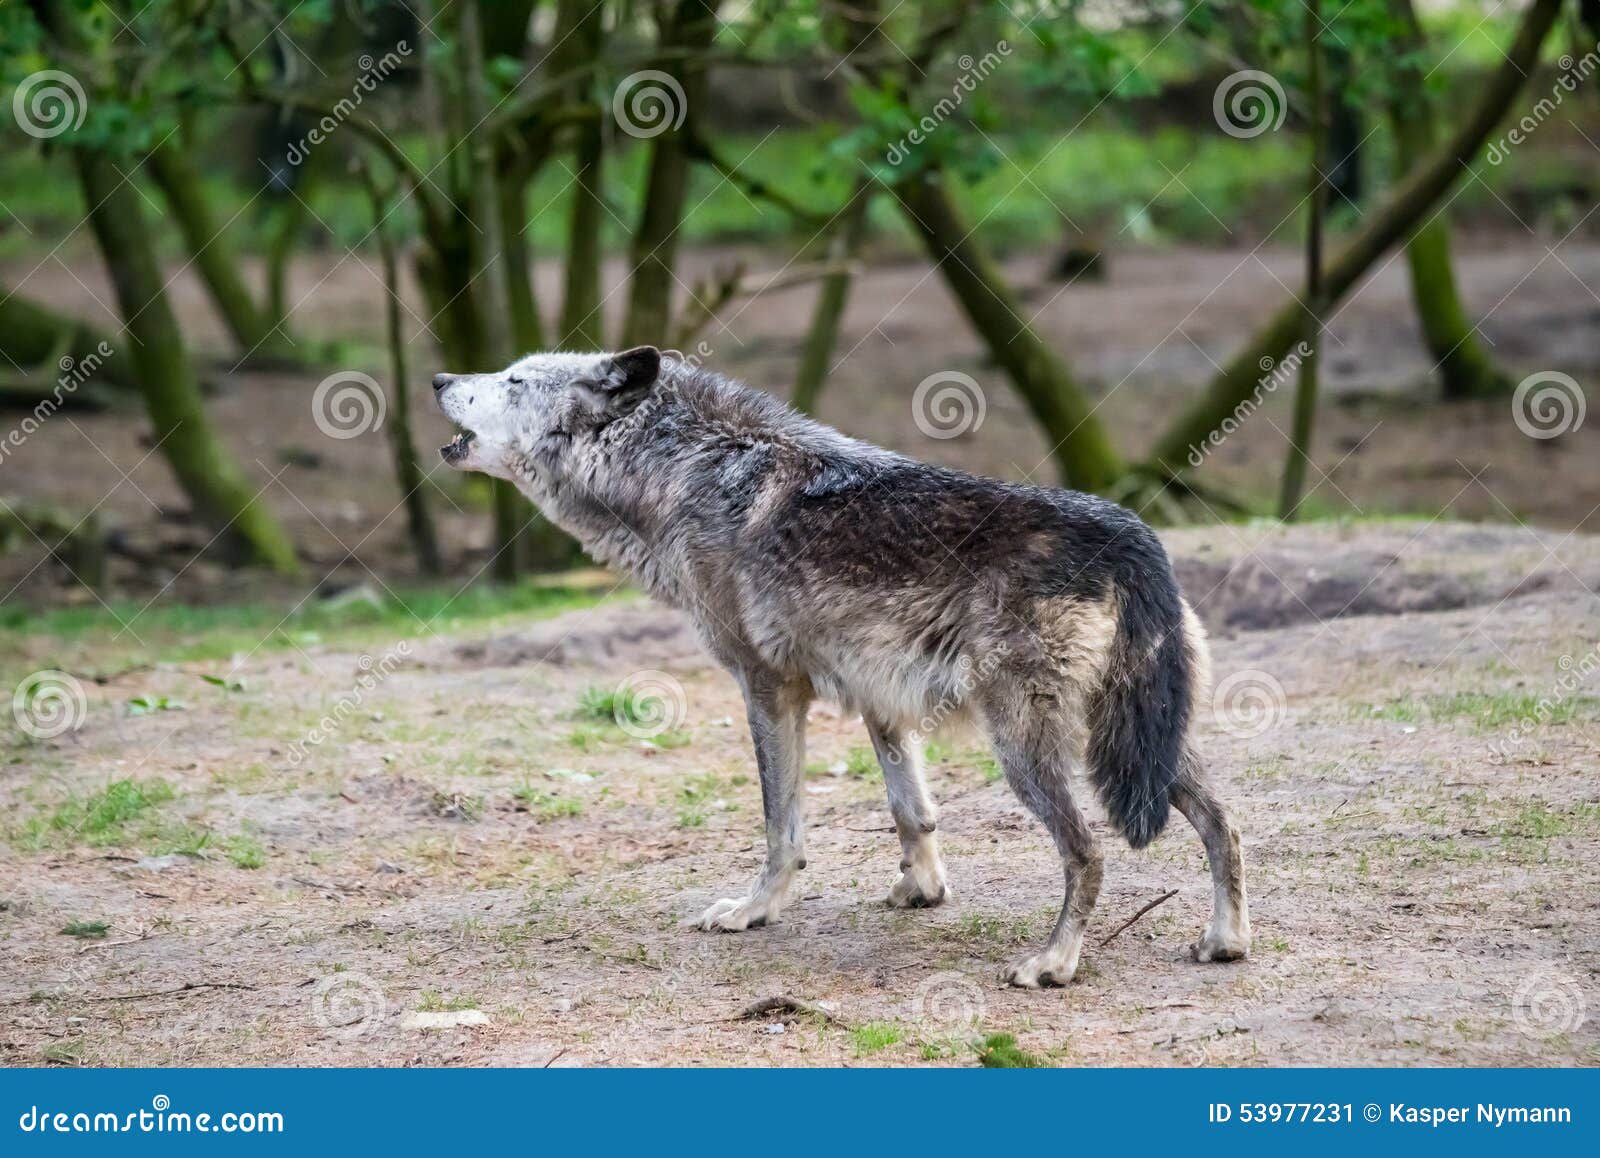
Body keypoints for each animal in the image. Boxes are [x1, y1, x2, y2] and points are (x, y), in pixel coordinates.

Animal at [433, 346, 1250, 987]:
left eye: (512, 379)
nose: (439, 375)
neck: (698, 473)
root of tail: (1133, 537)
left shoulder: (767, 687)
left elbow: (781, 827)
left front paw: (755, 911)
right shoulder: (878, 696)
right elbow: (912, 811)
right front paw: (922, 891)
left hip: (1032, 749)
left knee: (1087, 851)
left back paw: (1053, 964)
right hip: (1140, 744)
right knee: (1224, 821)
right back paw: (1226, 941)